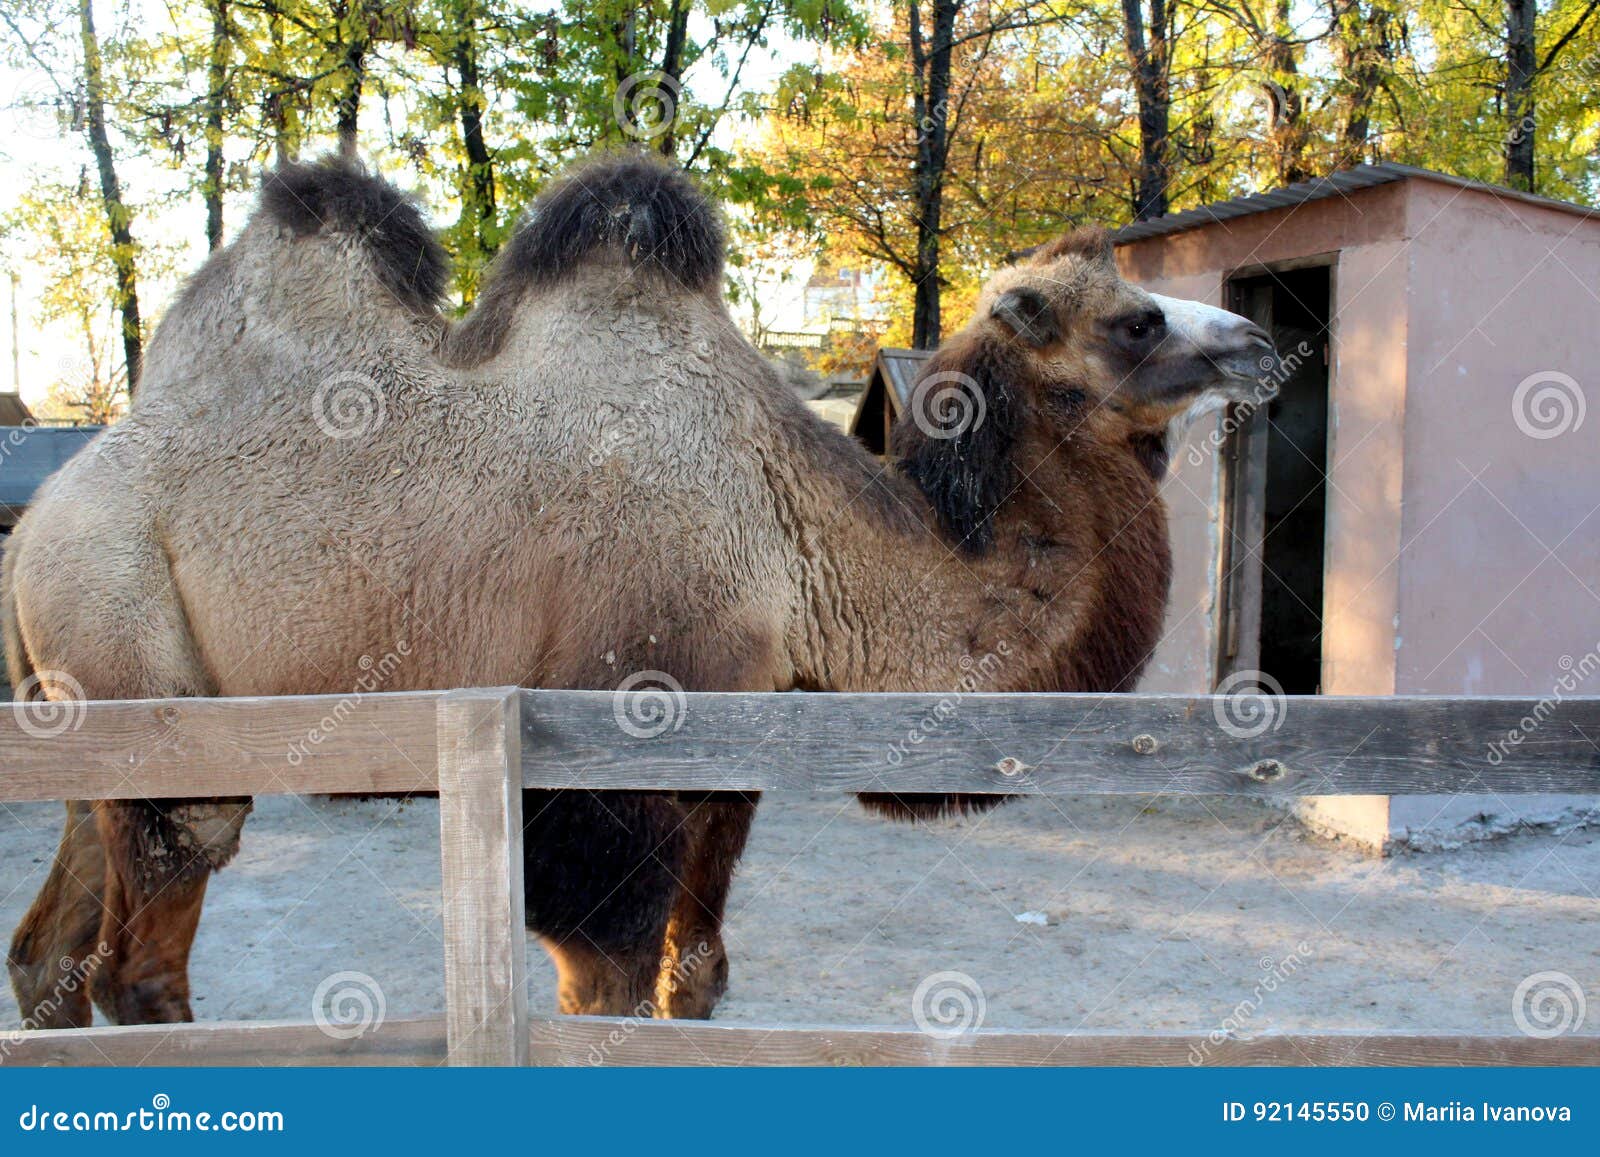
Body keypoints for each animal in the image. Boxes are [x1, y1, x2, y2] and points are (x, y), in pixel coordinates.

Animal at [5, 152, 1275, 1029]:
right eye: (1134, 319)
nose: (1262, 340)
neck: (797, 543)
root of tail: (40, 521)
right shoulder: (605, 758)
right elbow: (603, 989)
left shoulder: (723, 764)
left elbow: (694, 980)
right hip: (137, 646)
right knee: (150, 942)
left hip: (87, 696)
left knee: (49, 947)